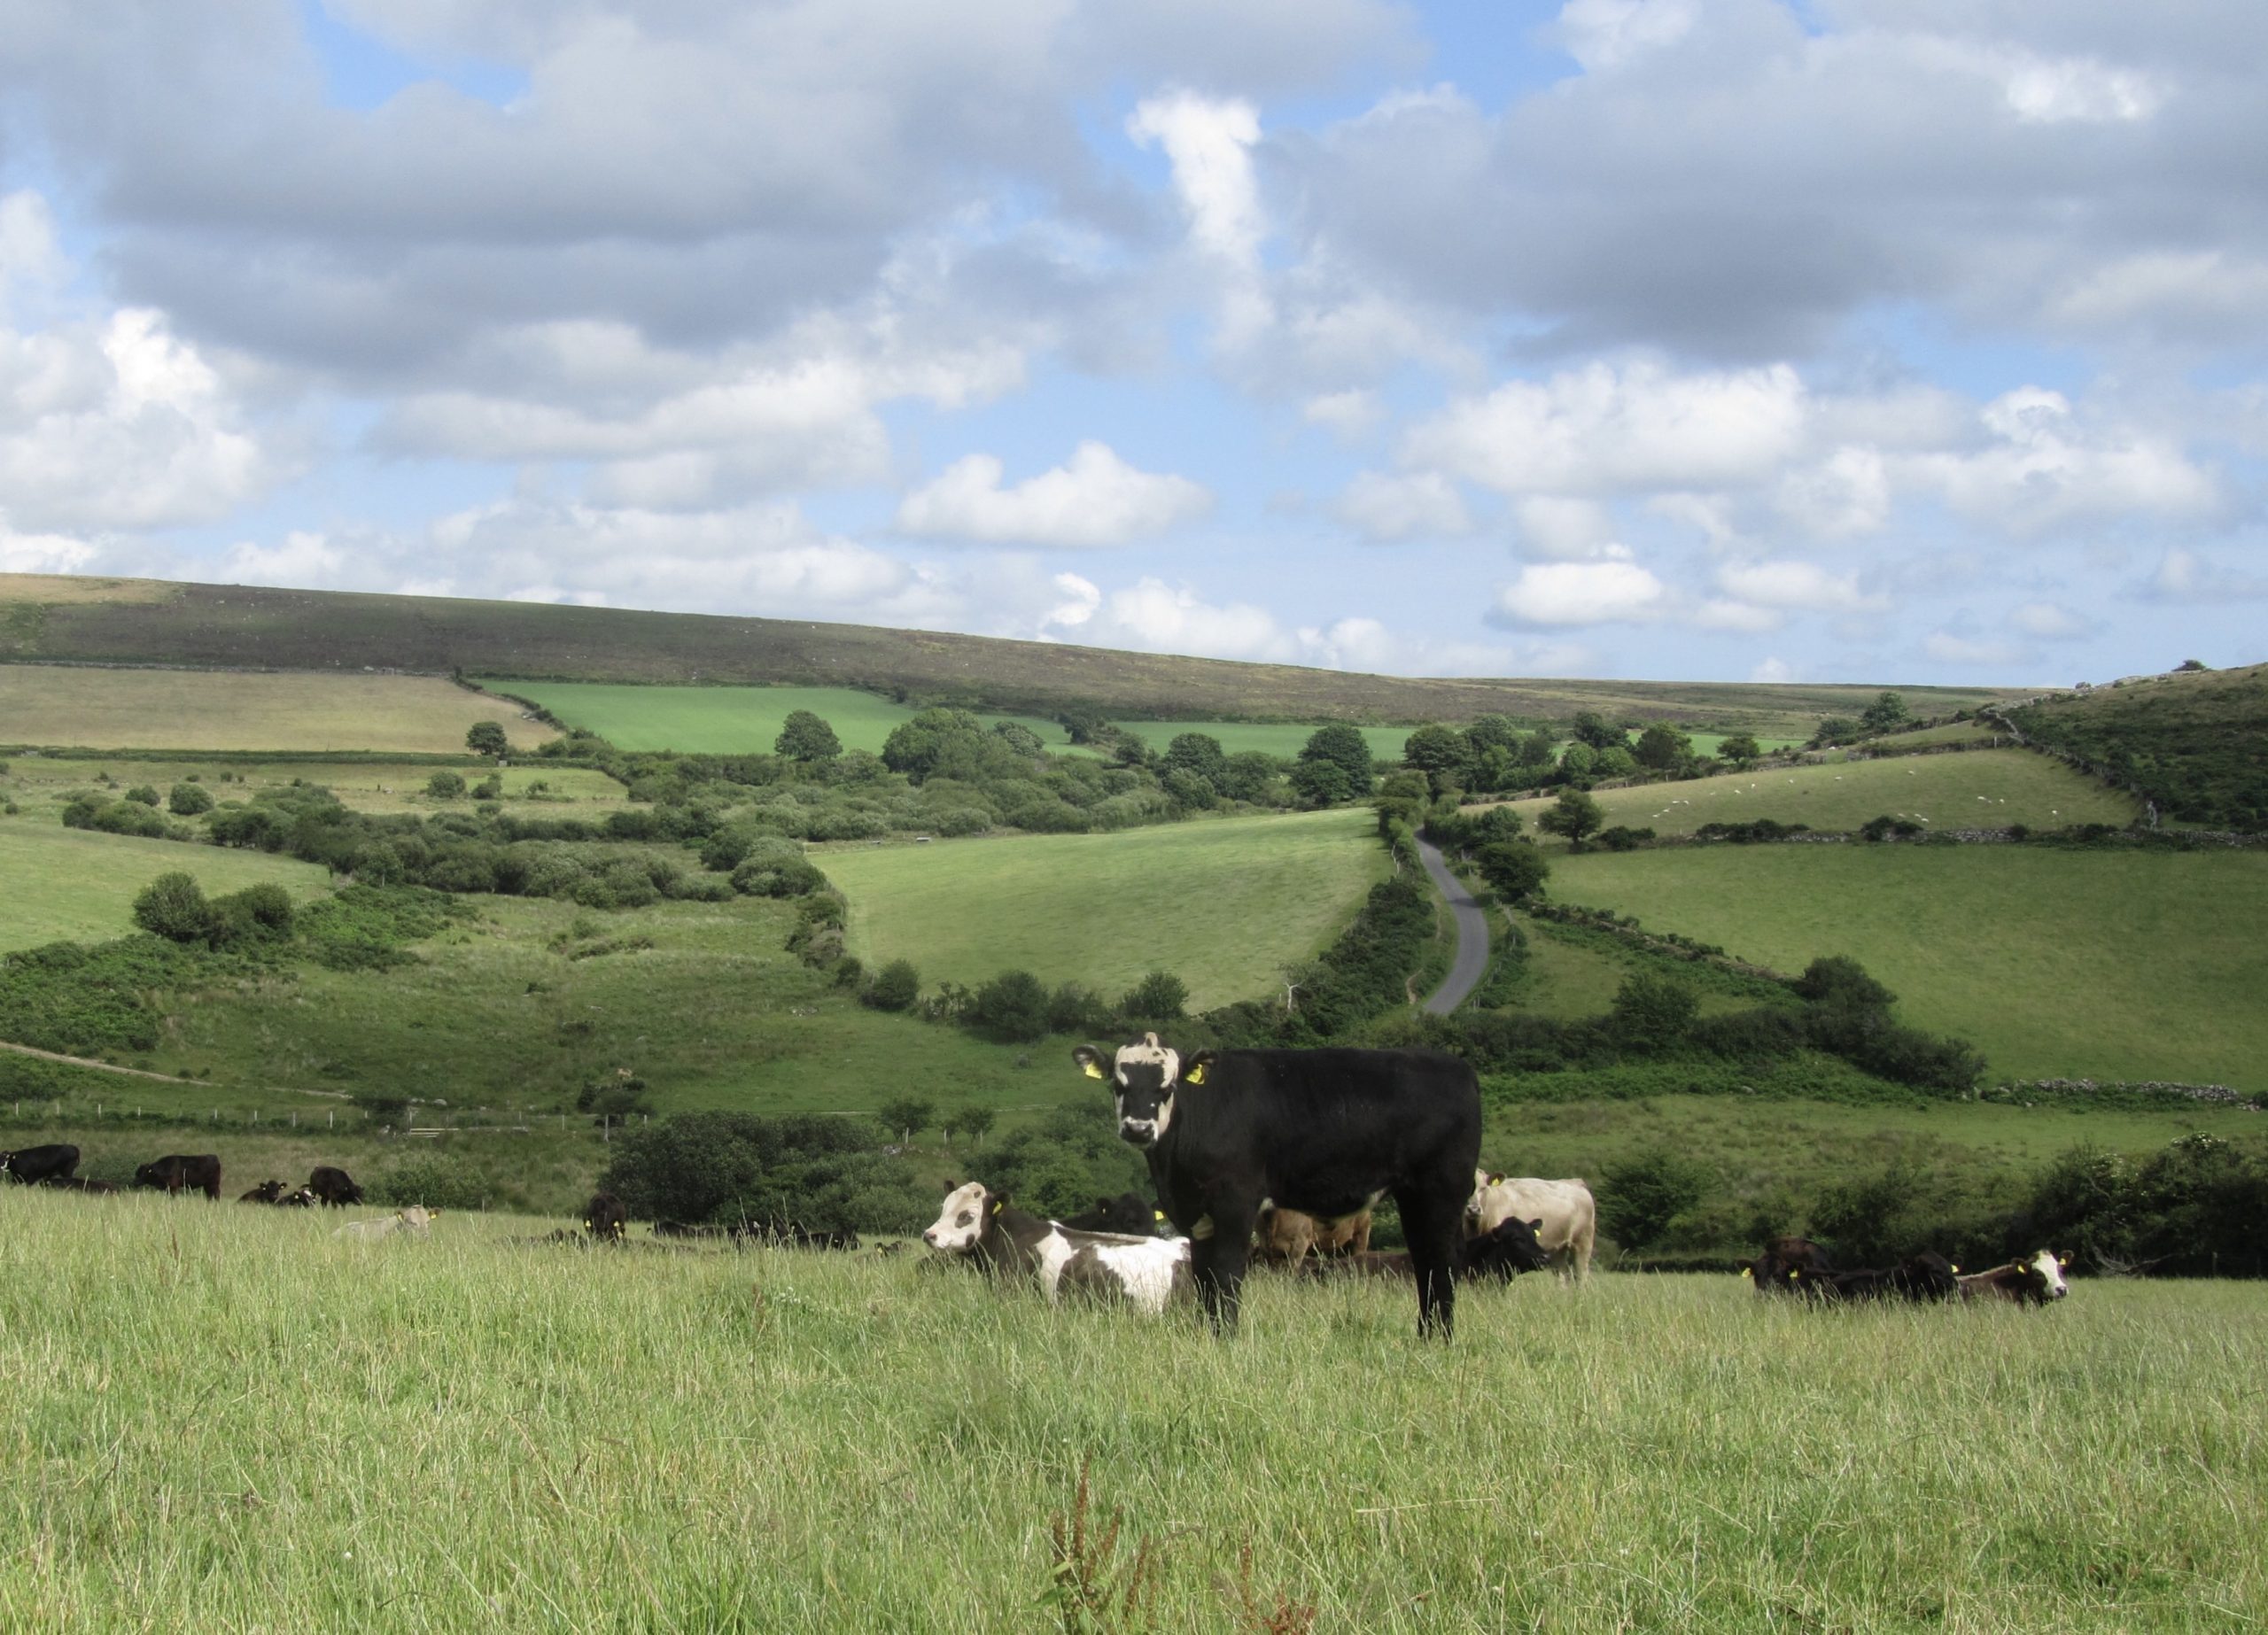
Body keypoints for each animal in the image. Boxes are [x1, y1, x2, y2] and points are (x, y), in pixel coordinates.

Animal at [1467, 1172, 1596, 1283]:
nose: (1474, 1209)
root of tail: (1575, 1182)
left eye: (1483, 1188)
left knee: (1581, 1276)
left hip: (1583, 1242)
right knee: (1561, 1276)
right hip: (1559, 1248)